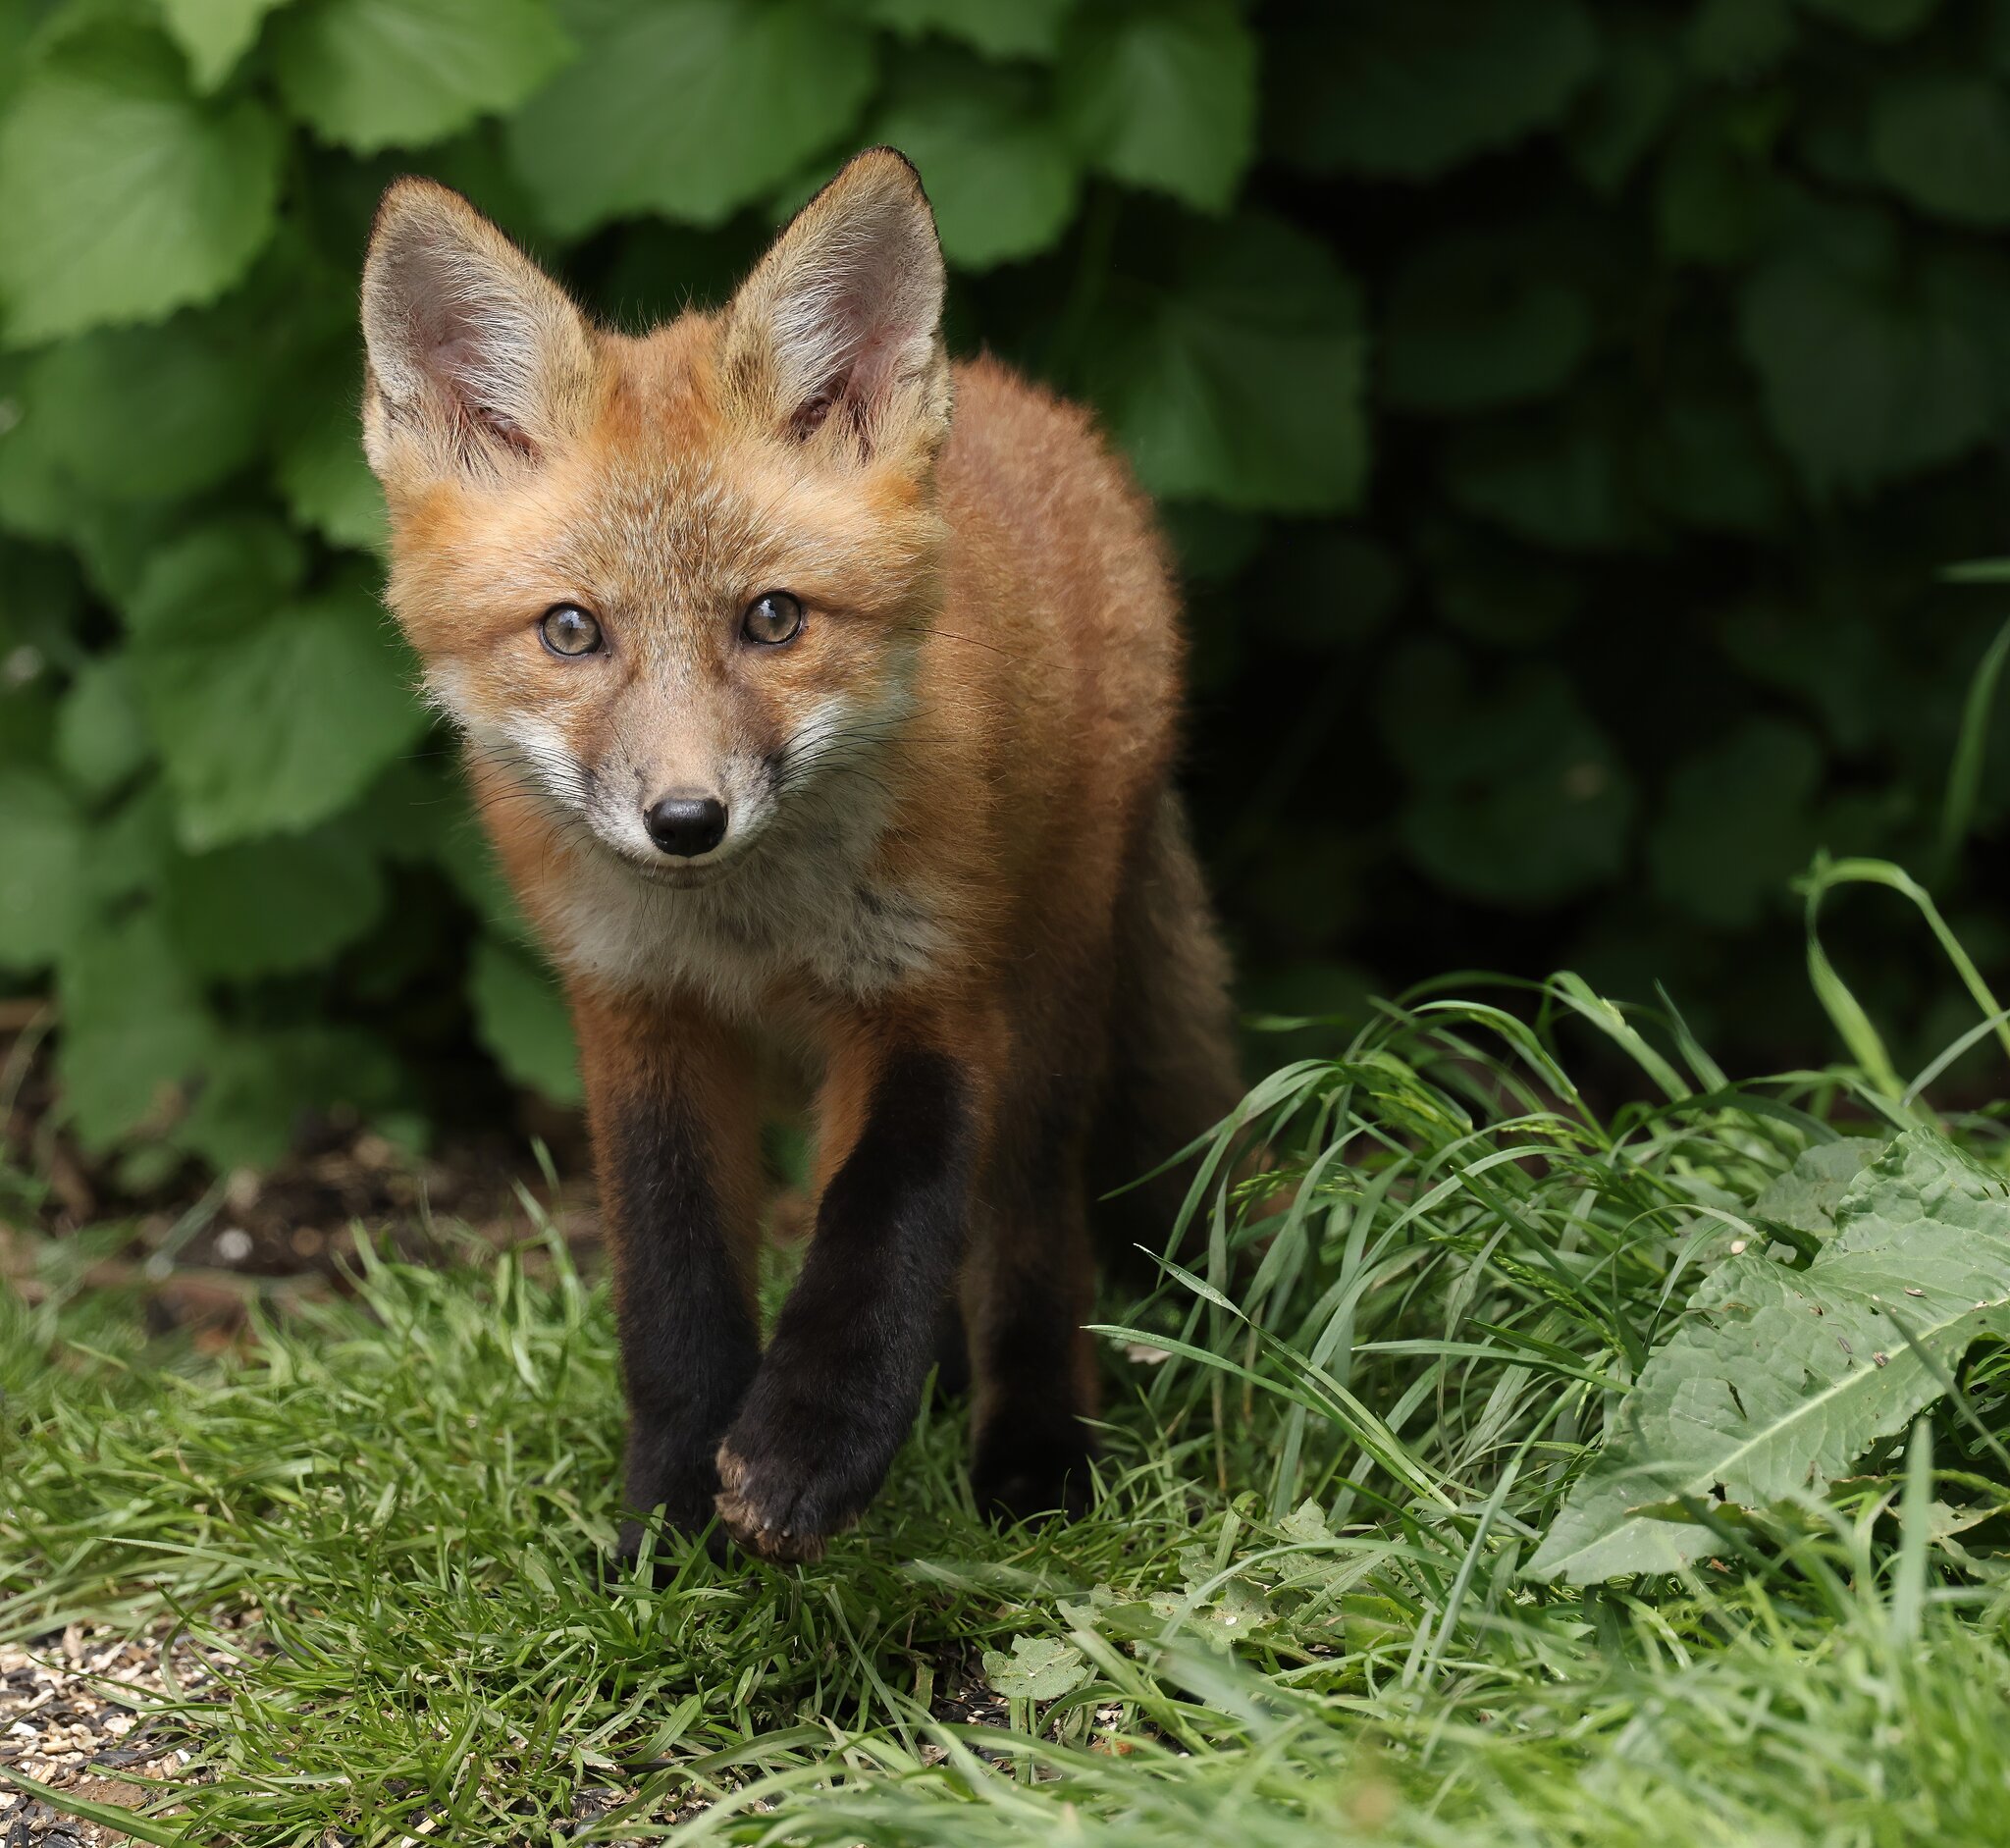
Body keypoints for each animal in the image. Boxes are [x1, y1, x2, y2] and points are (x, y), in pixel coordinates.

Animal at [358, 148, 1242, 1566]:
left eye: (772, 619)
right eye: (571, 630)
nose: (684, 818)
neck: (748, 934)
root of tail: (1033, 408)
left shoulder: (933, 995)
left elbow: (885, 1218)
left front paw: (807, 1450)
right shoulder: (637, 1017)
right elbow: (672, 1288)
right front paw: (665, 1526)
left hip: (1053, 992)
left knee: (1029, 1235)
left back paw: (1034, 1456)